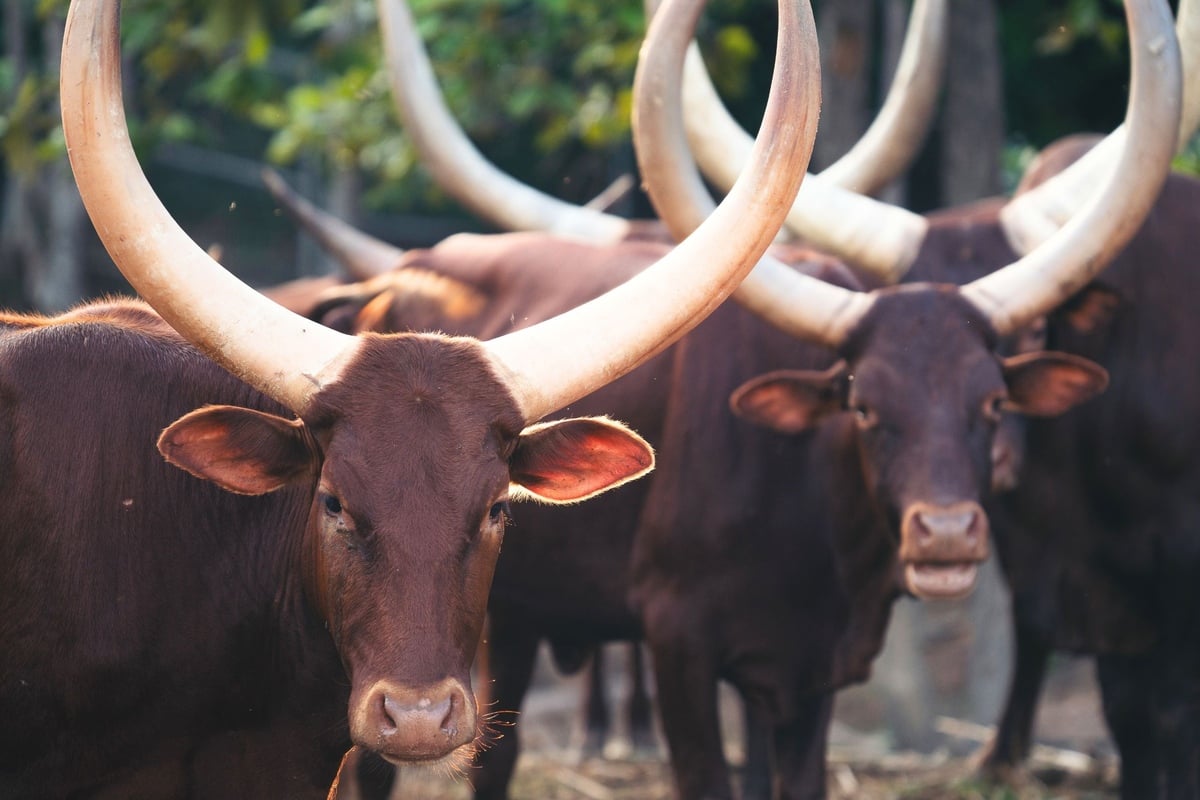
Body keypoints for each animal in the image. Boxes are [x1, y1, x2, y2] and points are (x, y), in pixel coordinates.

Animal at [266, 2, 1182, 798]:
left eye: (992, 400)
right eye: (866, 407)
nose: (949, 532)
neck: (810, 501)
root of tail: (400, 280)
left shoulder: (812, 673)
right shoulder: (681, 642)